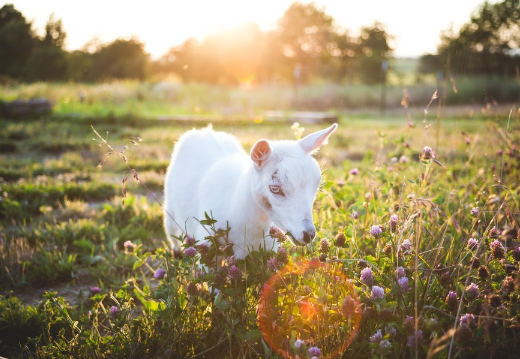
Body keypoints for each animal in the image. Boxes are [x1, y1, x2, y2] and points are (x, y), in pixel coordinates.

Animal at [165, 124, 340, 258]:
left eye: (317, 184)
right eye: (274, 188)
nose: (308, 234)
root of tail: (204, 130)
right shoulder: (207, 245)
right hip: (170, 211)